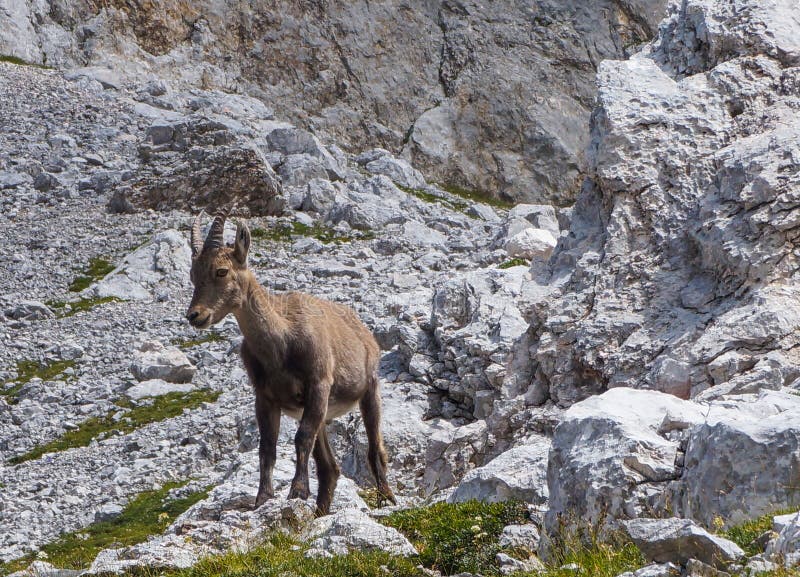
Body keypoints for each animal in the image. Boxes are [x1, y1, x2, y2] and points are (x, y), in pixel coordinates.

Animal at [185, 211, 396, 515]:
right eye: (193, 274)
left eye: (221, 271)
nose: (195, 315)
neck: (280, 343)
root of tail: (364, 332)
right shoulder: (265, 397)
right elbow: (267, 448)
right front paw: (263, 498)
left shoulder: (319, 383)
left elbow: (301, 437)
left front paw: (297, 492)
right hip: (321, 411)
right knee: (329, 467)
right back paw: (320, 512)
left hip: (369, 389)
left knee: (374, 448)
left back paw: (386, 499)